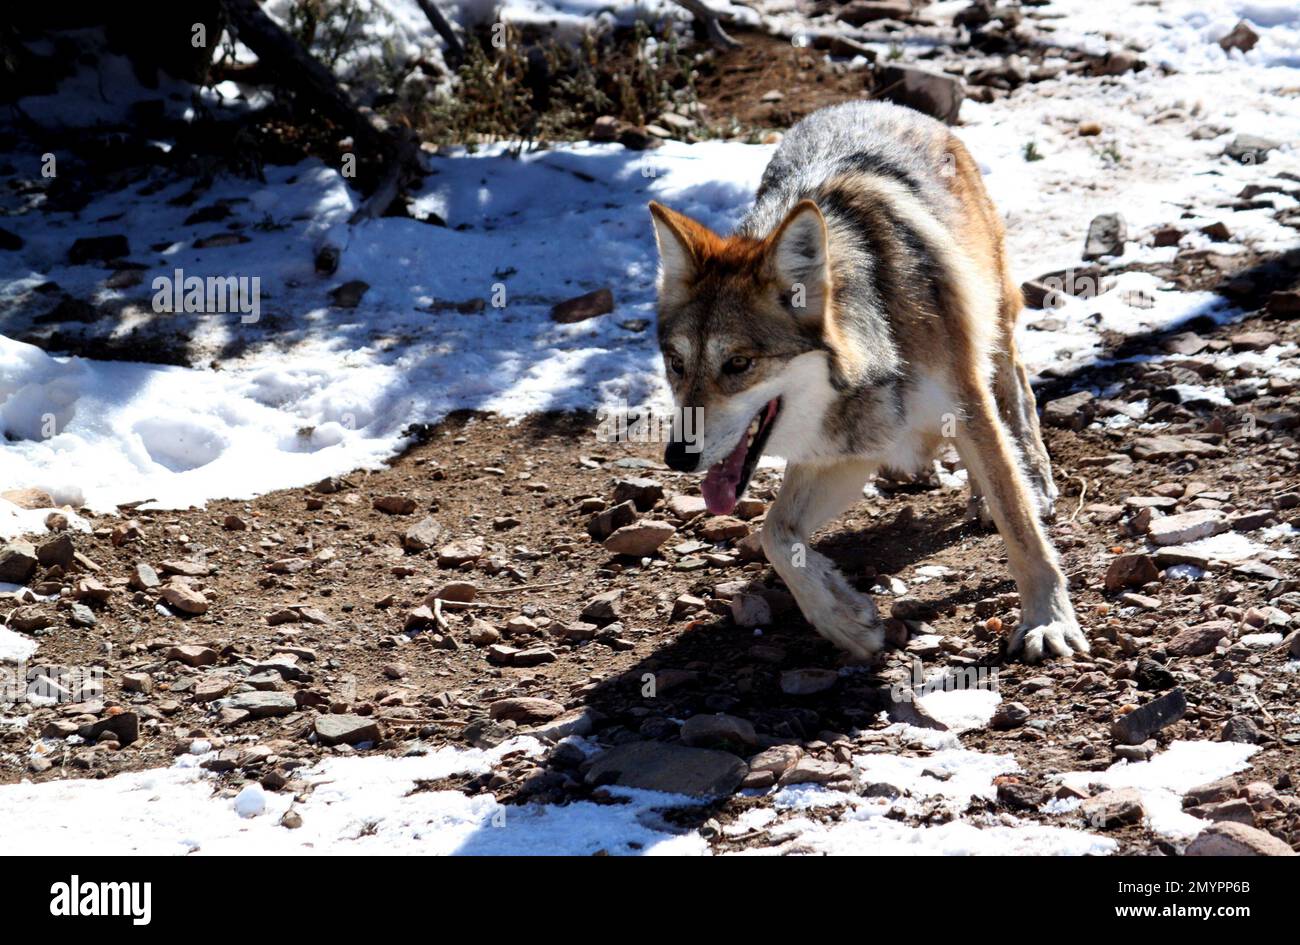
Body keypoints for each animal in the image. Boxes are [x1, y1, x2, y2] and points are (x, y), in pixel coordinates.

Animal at [648, 101, 1086, 663]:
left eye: (739, 364)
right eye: (677, 363)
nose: (677, 457)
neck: (882, 336)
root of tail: (873, 104)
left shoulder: (965, 403)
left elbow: (1021, 525)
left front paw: (1047, 621)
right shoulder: (850, 447)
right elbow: (773, 533)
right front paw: (844, 619)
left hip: (992, 319)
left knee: (1016, 390)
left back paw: (1034, 479)